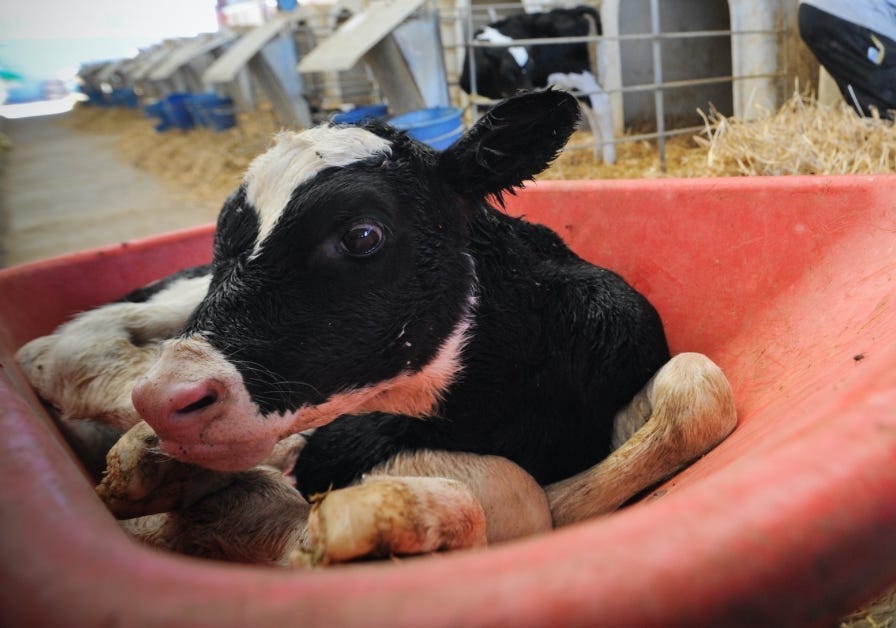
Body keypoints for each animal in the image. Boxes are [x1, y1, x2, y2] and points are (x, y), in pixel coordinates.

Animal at [16, 89, 736, 564]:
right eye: (224, 238)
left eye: (362, 234)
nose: (171, 400)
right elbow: (512, 494)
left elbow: (699, 388)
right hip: (169, 307)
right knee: (59, 351)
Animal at [459, 5, 615, 163]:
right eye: (509, 72)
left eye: (530, 68)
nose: (529, 91)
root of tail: (569, 11)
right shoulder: (480, 102)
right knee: (590, 110)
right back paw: (598, 154)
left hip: (578, 74)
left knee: (601, 104)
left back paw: (609, 158)